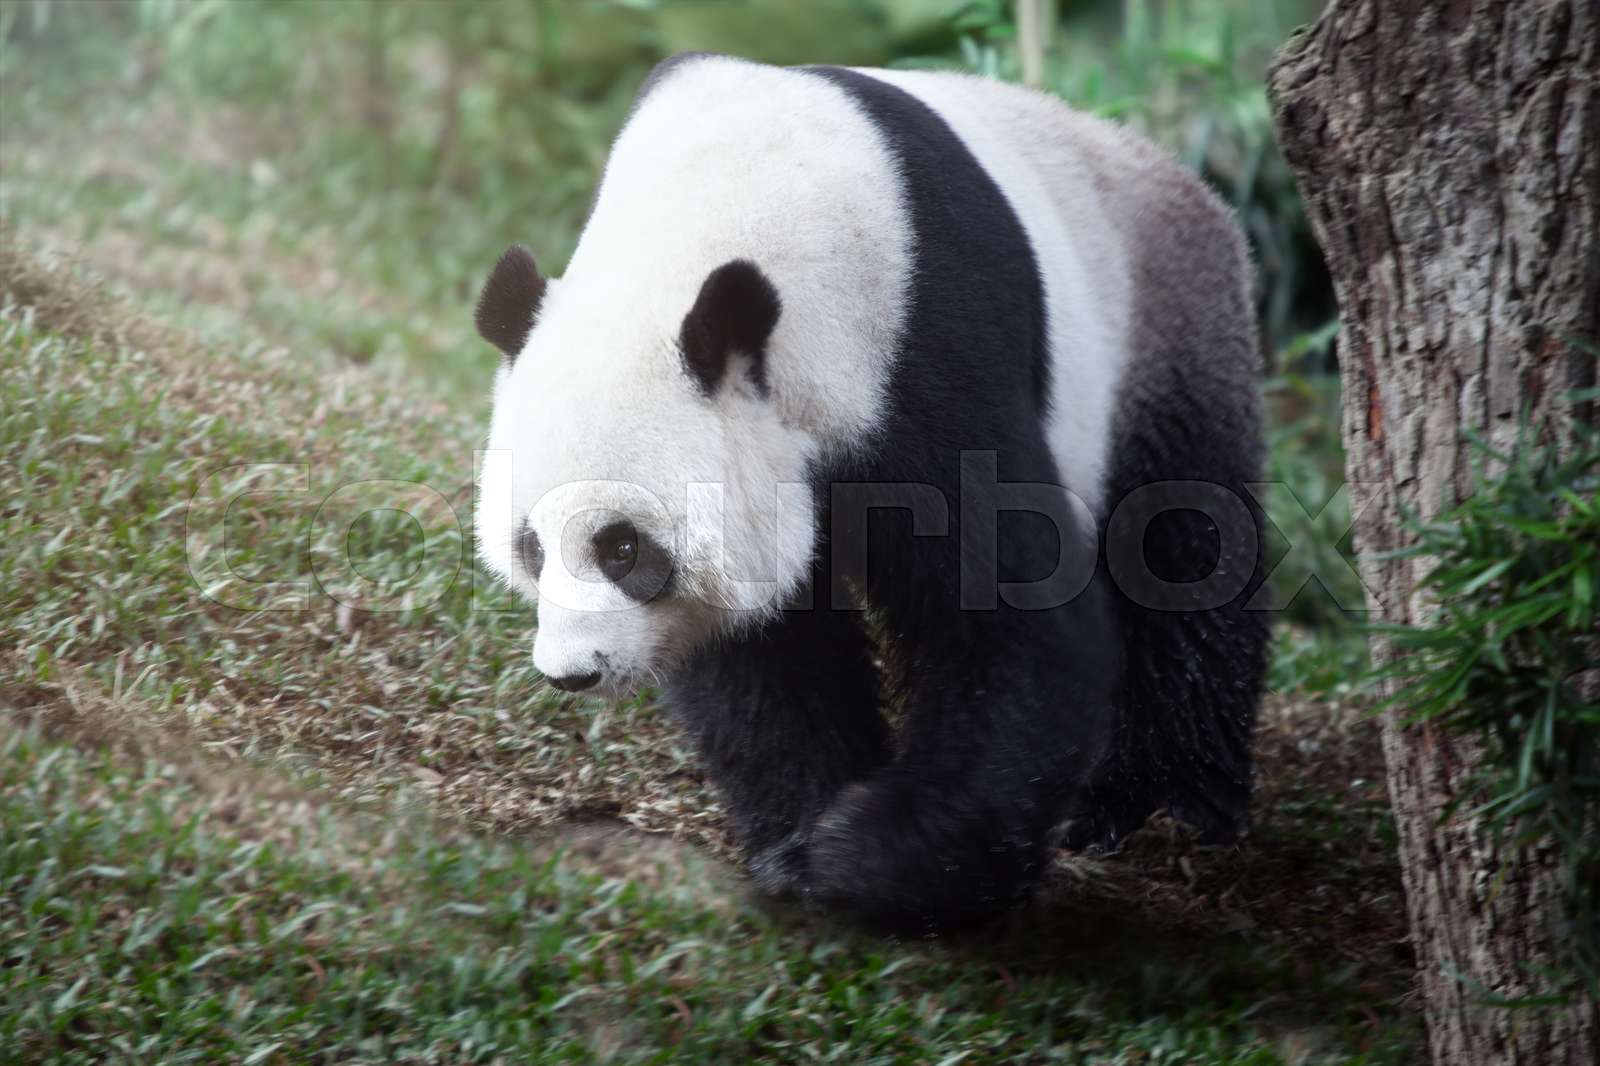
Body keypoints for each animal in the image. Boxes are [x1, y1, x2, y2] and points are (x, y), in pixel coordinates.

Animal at [475, 53, 1268, 931]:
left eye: (622, 546)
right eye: (531, 547)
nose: (572, 671)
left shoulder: (921, 345)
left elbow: (1011, 619)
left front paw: (872, 858)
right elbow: (765, 651)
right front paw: (801, 838)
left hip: (1163, 330)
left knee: (1183, 554)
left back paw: (1159, 801)